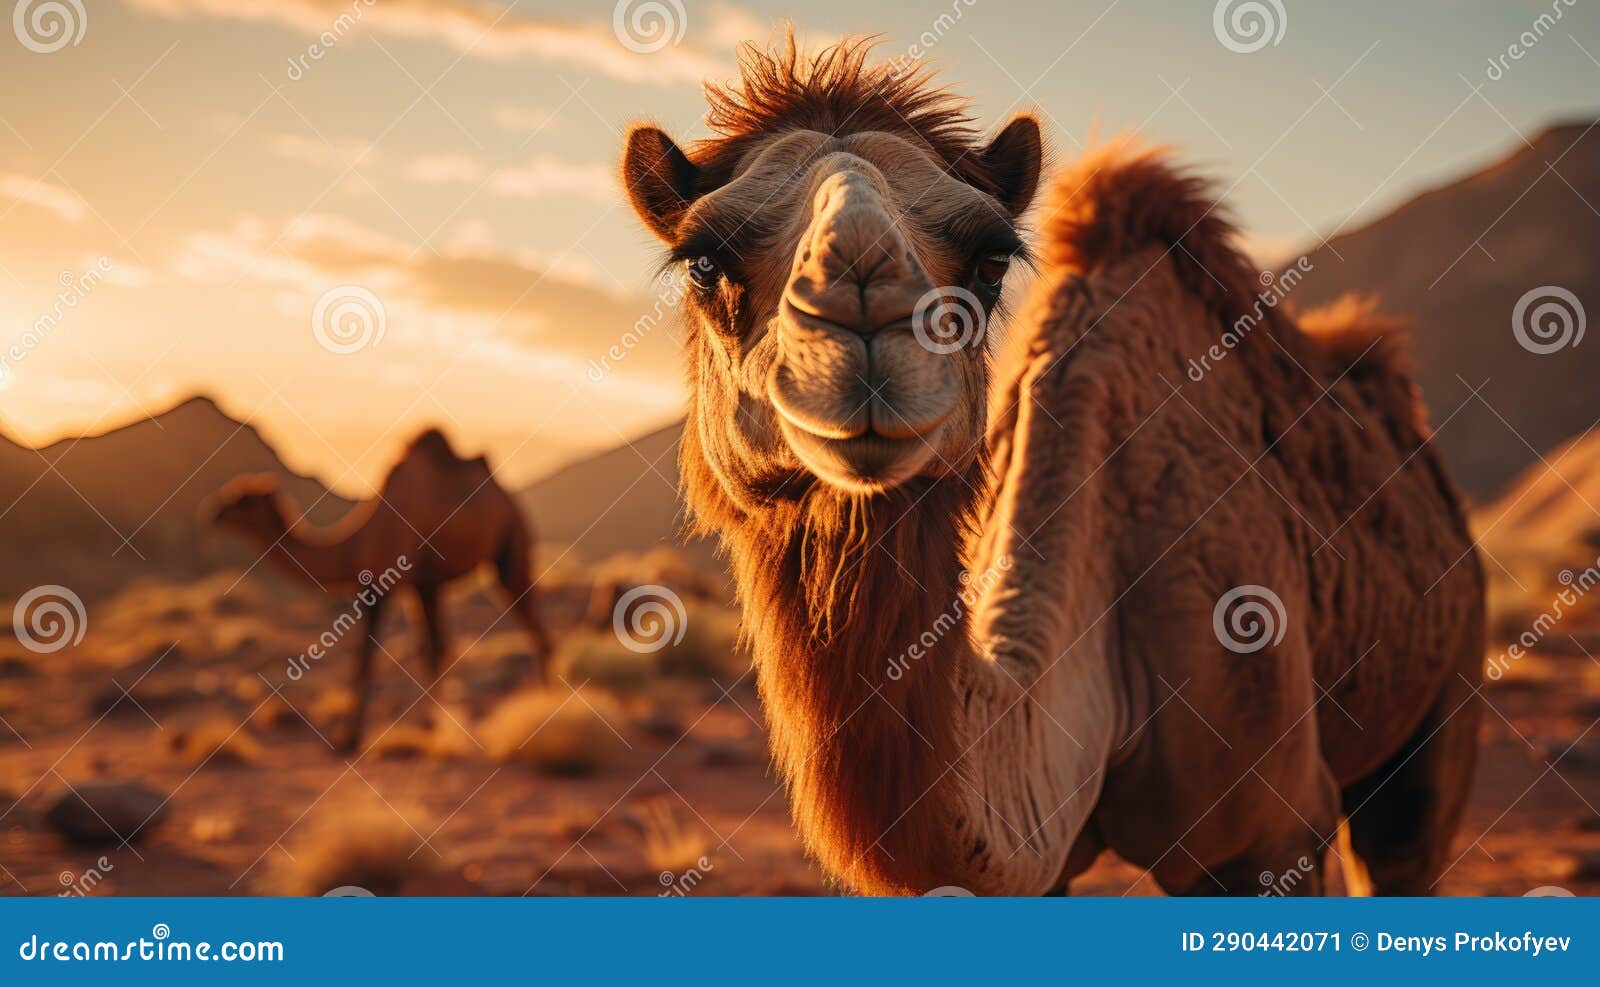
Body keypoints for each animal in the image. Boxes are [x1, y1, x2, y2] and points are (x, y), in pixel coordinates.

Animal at [211, 428, 552, 751]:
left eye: (243, 499)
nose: (214, 512)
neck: (355, 546)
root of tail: (508, 496)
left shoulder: (377, 589)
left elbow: (363, 661)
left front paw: (348, 740)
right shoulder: (416, 584)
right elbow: (423, 650)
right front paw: (429, 728)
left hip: (512, 541)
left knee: (534, 625)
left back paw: (545, 705)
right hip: (433, 583)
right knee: (441, 643)